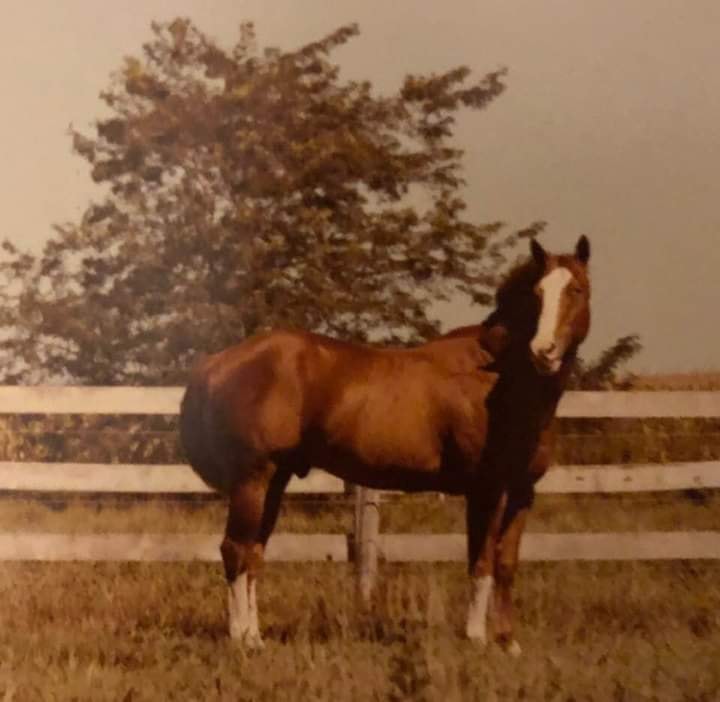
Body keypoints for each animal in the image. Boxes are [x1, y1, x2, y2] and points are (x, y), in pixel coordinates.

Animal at [179, 235, 591, 652]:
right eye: (537, 293)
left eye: (576, 289)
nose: (544, 351)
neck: (498, 379)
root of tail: (218, 361)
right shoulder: (487, 490)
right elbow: (481, 561)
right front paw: (476, 637)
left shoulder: (522, 493)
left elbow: (506, 563)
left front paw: (508, 642)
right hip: (252, 478)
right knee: (235, 549)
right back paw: (241, 639)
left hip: (274, 481)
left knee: (254, 553)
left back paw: (254, 635)